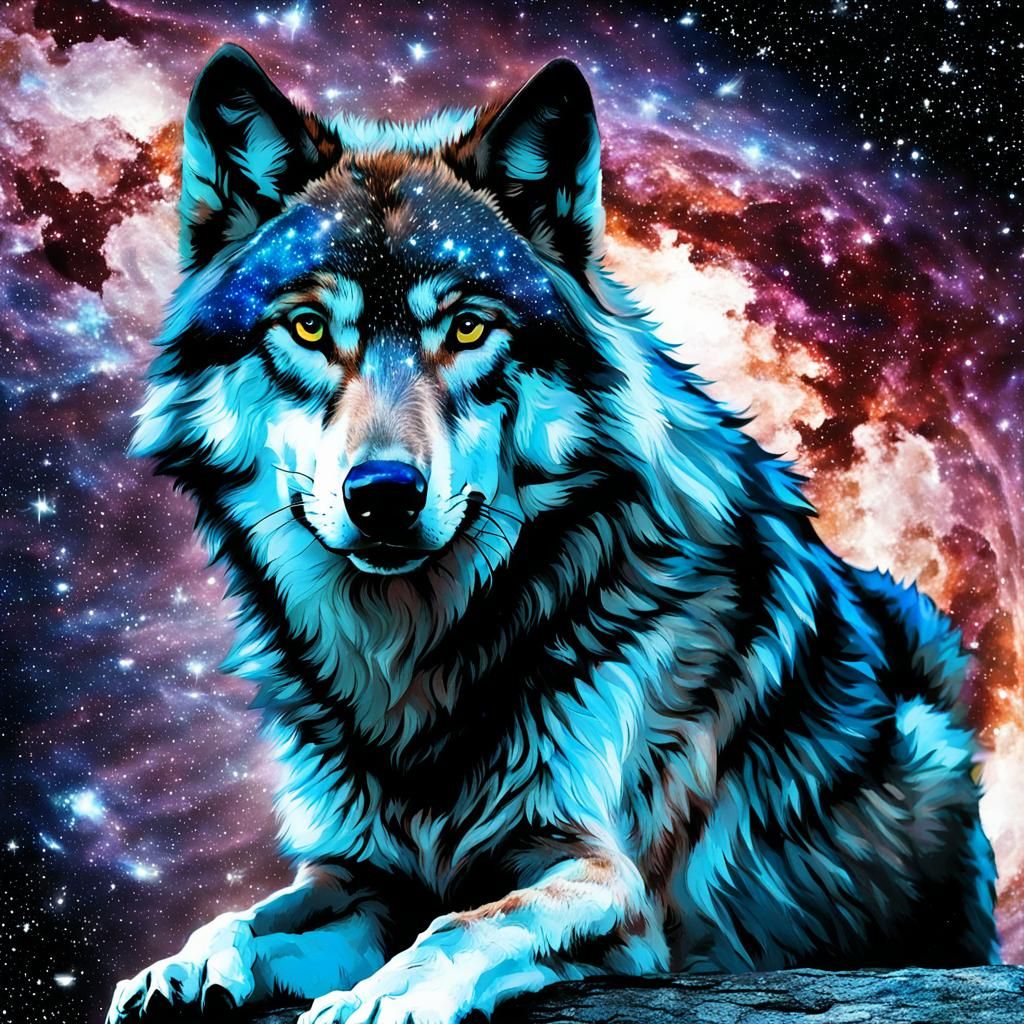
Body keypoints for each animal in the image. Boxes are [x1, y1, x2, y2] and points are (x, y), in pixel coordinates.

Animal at [107, 43, 998, 1024]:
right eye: (307, 326)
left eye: (468, 327)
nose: (383, 495)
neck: (415, 664)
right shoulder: (359, 873)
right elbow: (249, 915)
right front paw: (186, 964)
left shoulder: (606, 880)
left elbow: (464, 923)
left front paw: (383, 998)